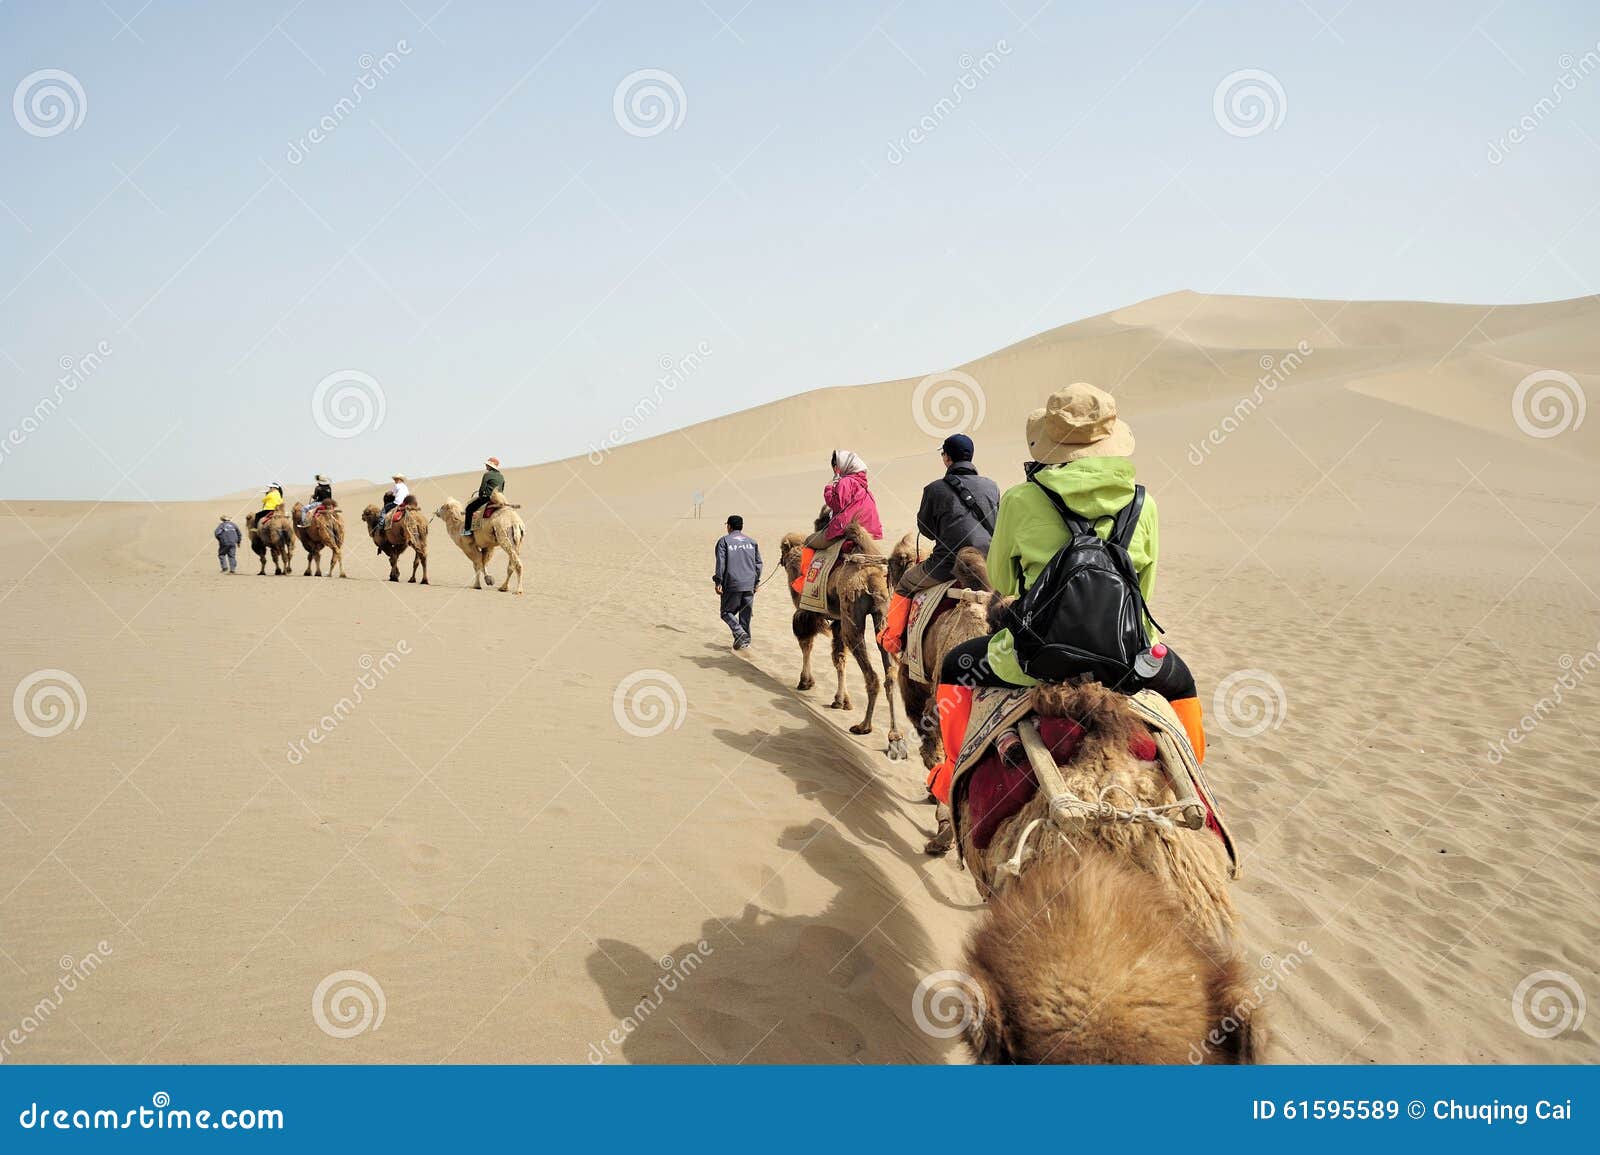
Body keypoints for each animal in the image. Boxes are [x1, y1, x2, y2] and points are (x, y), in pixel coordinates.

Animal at [778, 520, 905, 755]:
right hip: (883, 616)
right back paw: (895, 737)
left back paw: (864, 726)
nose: (781, 560)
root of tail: (873, 579)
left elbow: (806, 643)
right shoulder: (837, 621)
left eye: (782, 549)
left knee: (871, 675)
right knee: (889, 674)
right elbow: (839, 658)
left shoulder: (805, 611)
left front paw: (805, 681)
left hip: (852, 618)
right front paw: (842, 700)